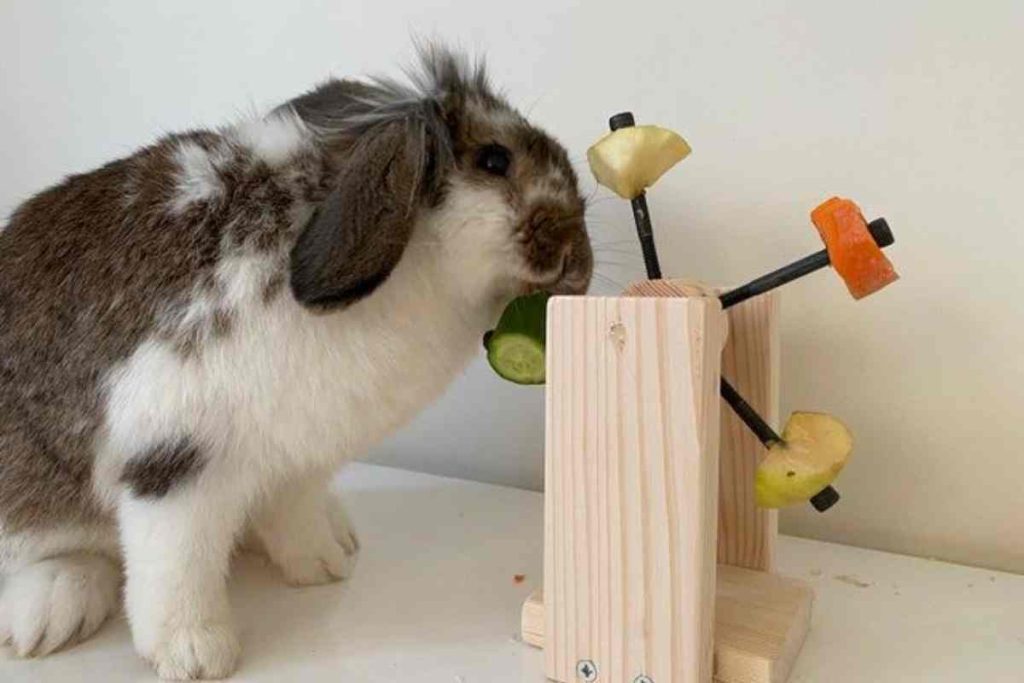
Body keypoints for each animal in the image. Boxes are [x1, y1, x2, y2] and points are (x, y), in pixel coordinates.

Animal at [0, 44, 592, 679]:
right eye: (494, 159)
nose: (579, 261)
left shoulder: (297, 458)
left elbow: (293, 516)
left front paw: (325, 565)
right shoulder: (172, 464)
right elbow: (176, 569)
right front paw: (195, 654)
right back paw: (52, 608)